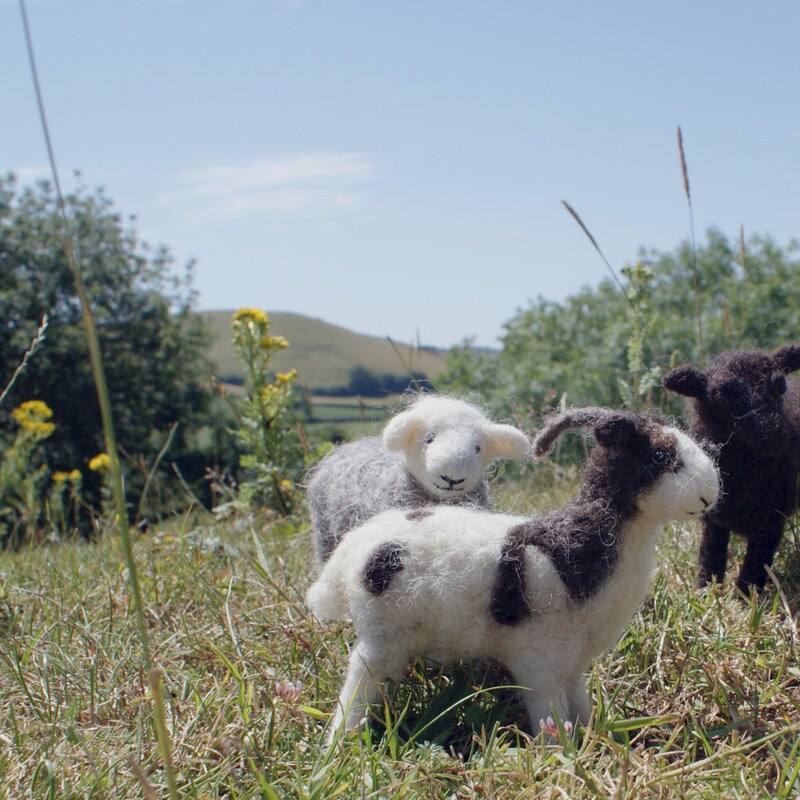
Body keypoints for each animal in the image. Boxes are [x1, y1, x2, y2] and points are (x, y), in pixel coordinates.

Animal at [663, 344, 800, 592]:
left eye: (781, 386)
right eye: (721, 394)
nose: (772, 433)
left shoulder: (773, 518)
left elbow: (756, 564)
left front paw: (745, 596)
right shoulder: (714, 516)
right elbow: (710, 555)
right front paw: (705, 591)